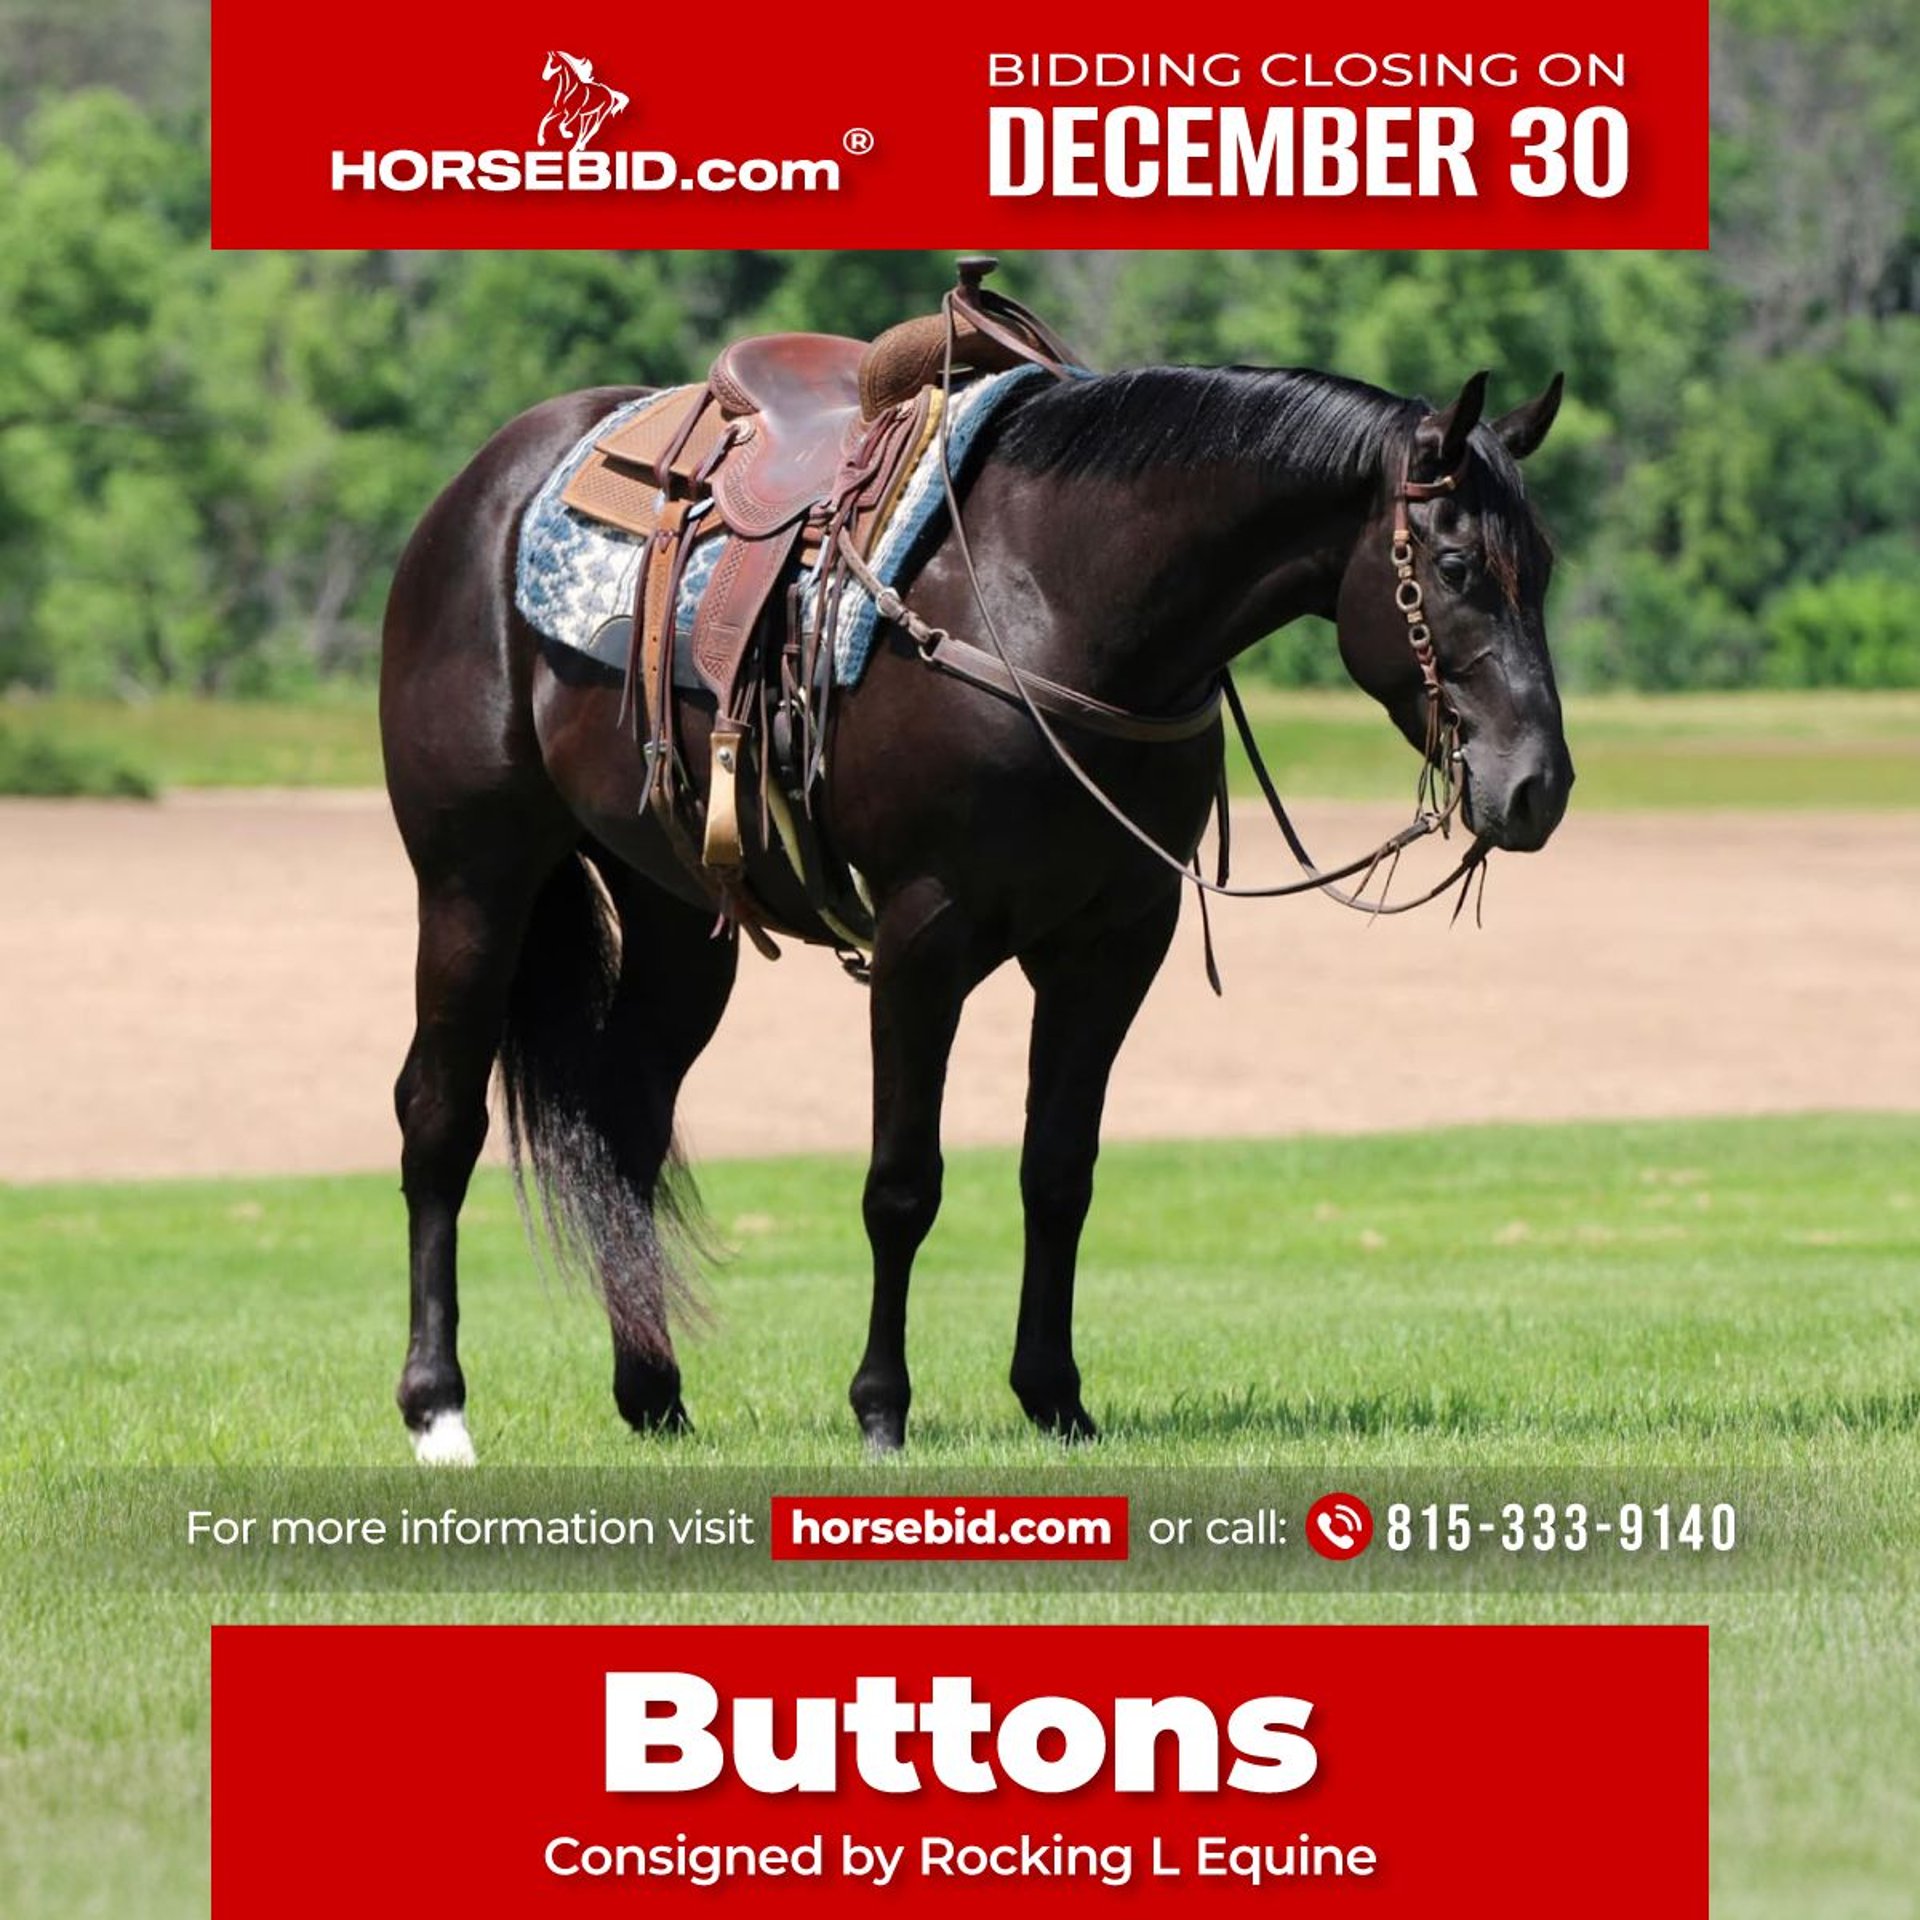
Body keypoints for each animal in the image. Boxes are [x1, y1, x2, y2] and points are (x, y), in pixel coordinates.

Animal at [379, 352, 1573, 1466]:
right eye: (1456, 565)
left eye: (1545, 566)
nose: (1538, 786)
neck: (1056, 604)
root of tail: (483, 487)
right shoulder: (925, 938)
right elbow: (902, 1185)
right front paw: (880, 1408)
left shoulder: (1114, 943)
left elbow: (1059, 1173)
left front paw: (1056, 1400)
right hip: (475, 875)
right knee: (439, 1115)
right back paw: (438, 1408)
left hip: (676, 912)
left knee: (624, 1116)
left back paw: (654, 1393)